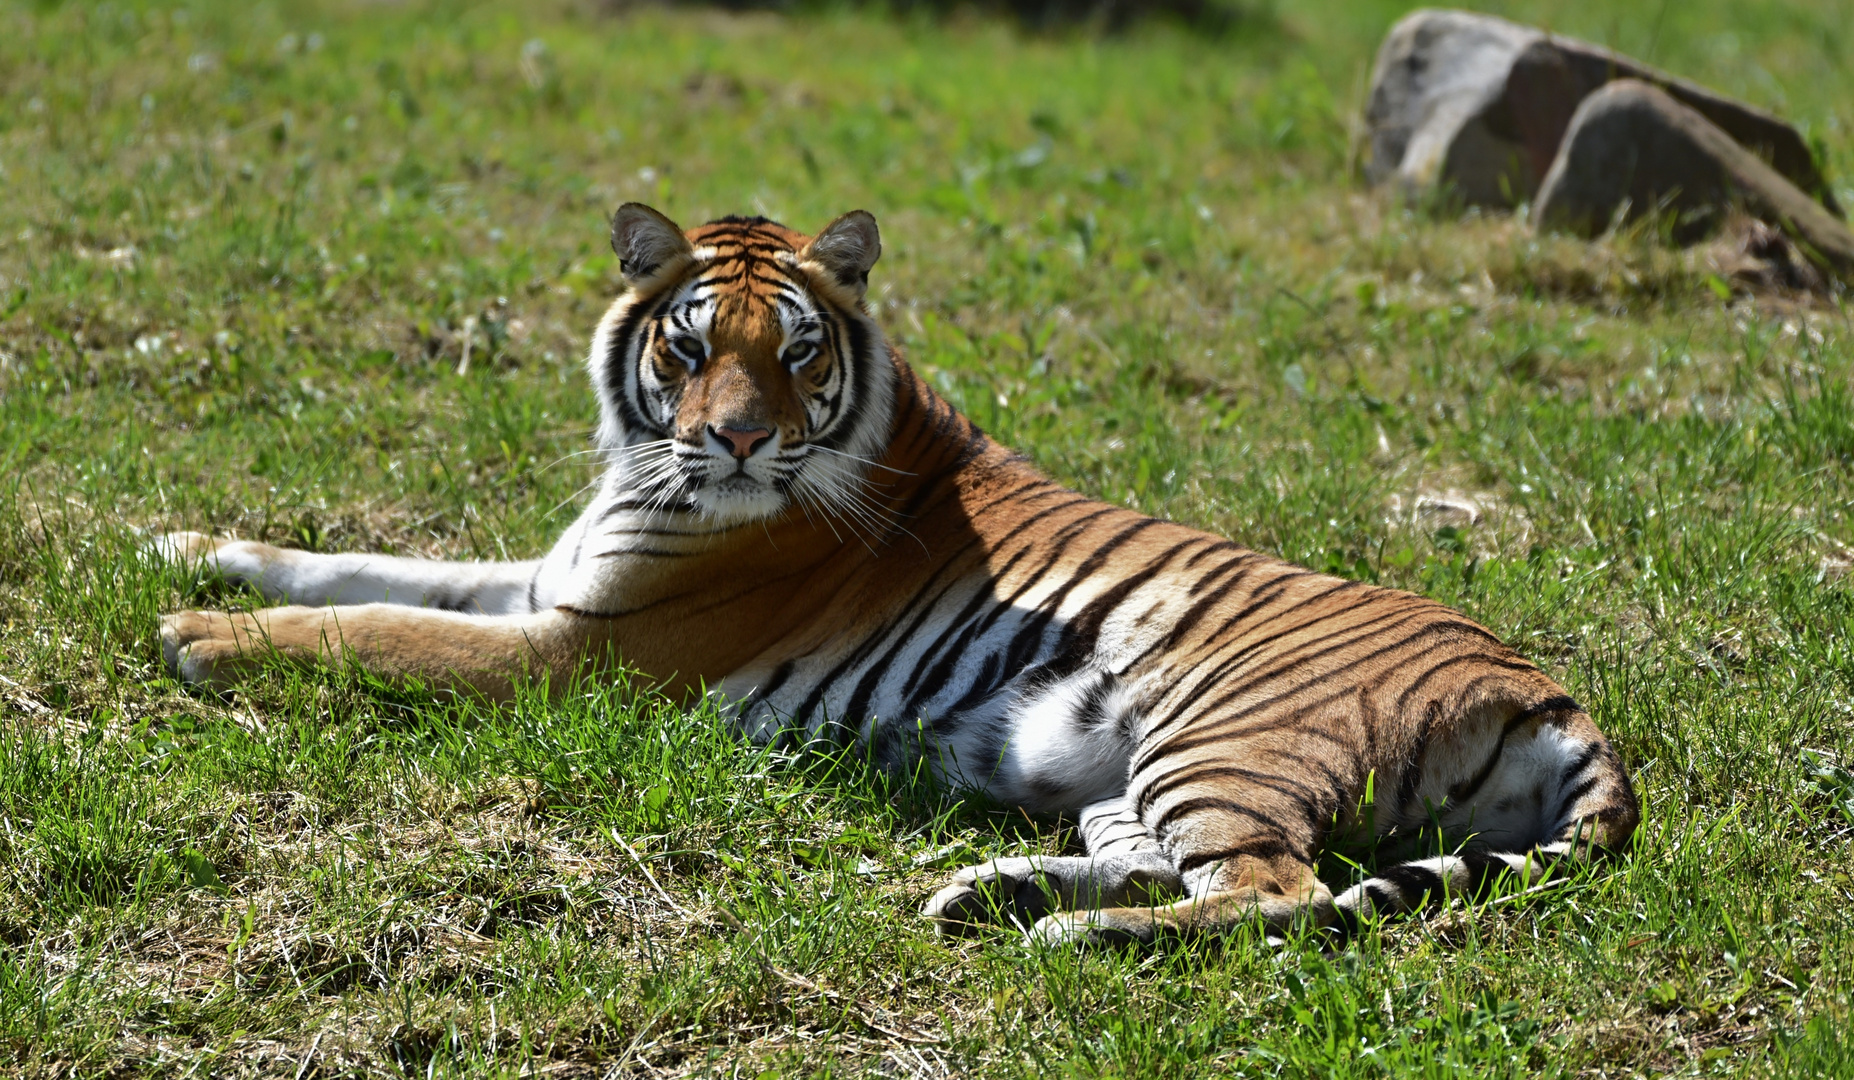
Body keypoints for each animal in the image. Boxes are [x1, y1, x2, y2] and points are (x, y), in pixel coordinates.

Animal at [159, 202, 1638, 948]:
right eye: (690, 348)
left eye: (796, 351)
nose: (735, 439)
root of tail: (1553, 693)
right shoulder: (553, 584)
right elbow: (370, 567)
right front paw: (189, 549)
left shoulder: (582, 652)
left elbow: (377, 625)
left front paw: (199, 636)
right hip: (1134, 778)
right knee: (1176, 872)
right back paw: (989, 896)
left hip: (1224, 739)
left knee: (1280, 903)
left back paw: (1059, 942)